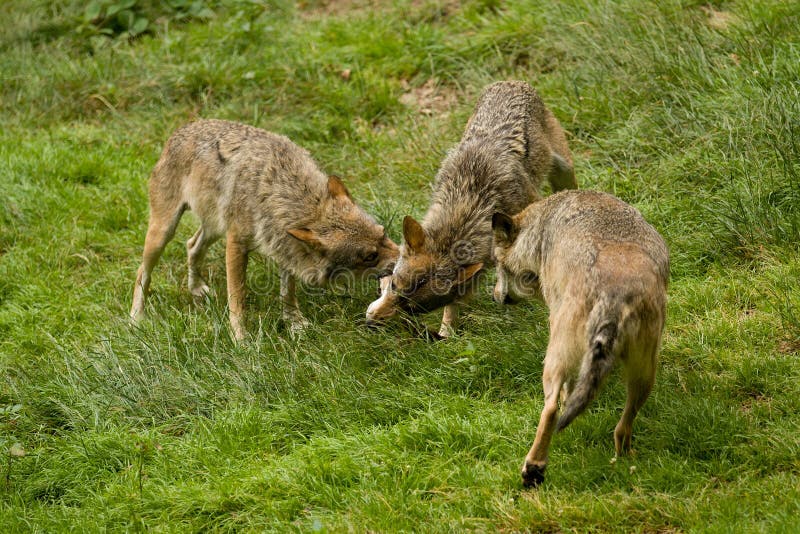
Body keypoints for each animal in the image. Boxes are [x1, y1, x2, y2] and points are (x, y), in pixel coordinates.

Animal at [130, 119, 398, 339]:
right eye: (370, 256)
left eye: (384, 234)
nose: (403, 261)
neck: (281, 192)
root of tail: (180, 130)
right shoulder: (236, 245)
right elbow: (238, 298)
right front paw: (241, 339)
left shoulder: (285, 247)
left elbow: (287, 292)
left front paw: (295, 324)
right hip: (163, 232)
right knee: (142, 271)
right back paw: (136, 318)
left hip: (215, 227)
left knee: (191, 245)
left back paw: (196, 289)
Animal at [366, 81, 576, 337]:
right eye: (395, 286)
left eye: (412, 310)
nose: (370, 322)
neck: (468, 206)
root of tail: (512, 82)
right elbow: (453, 306)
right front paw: (448, 333)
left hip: (564, 170)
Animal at [491, 189, 669, 487]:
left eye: (497, 266)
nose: (495, 297)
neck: (541, 224)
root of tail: (614, 296)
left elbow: (563, 394)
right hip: (645, 375)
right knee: (622, 427)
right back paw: (624, 459)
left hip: (555, 359)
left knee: (551, 409)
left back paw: (534, 469)